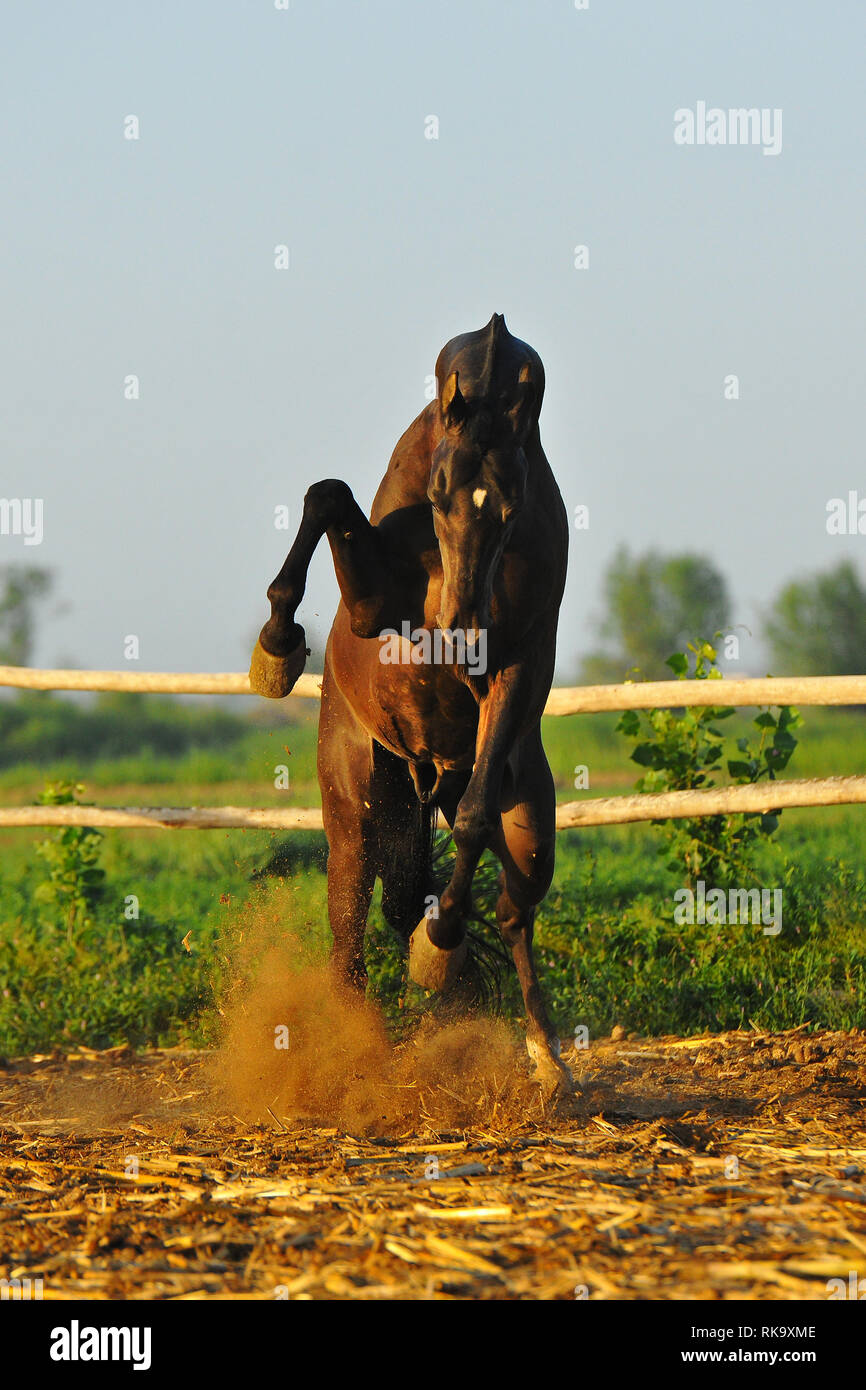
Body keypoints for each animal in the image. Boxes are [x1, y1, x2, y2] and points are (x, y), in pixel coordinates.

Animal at [249, 314, 573, 1097]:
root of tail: (427, 776)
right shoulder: (375, 613)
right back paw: (353, 1048)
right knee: (352, 926)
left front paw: (439, 948)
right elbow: (327, 496)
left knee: (509, 912)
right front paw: (277, 648)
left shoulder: (515, 669)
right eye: (438, 490)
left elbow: (476, 823)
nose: (460, 629)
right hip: (359, 810)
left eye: (512, 508)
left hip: (527, 827)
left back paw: (542, 1055)